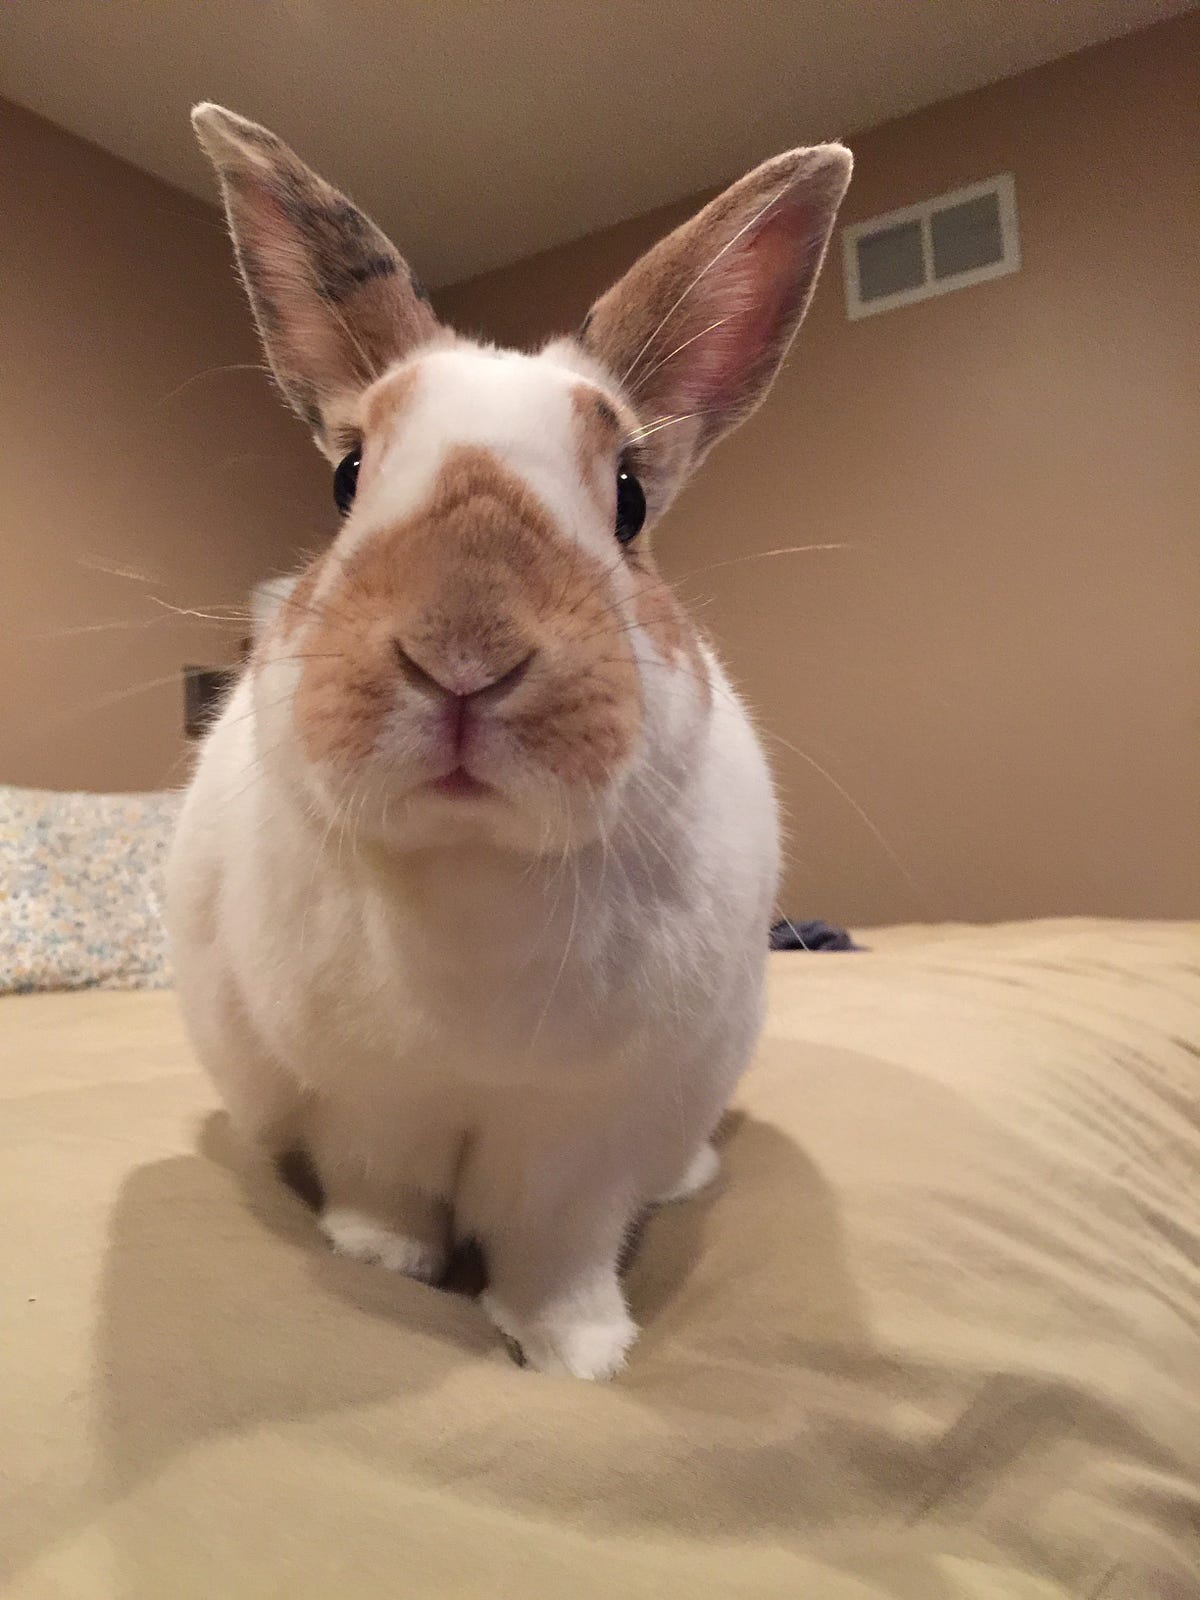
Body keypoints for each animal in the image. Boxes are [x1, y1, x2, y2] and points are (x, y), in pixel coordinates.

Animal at [167, 103, 851, 1379]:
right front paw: (383, 1262)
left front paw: (579, 1352)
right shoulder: (368, 1106)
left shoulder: (577, 1140)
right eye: (345, 477)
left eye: (629, 497)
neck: (469, 867)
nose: (463, 654)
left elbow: (558, 1245)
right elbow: (381, 1189)